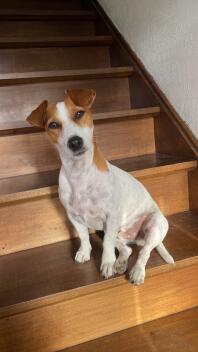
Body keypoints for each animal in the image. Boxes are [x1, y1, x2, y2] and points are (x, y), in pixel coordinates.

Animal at [26, 88, 175, 286]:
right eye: (53, 125)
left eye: (79, 114)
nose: (75, 142)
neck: (80, 173)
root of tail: (137, 239)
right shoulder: (74, 217)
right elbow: (83, 236)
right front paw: (85, 252)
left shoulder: (111, 217)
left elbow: (107, 245)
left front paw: (107, 263)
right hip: (111, 231)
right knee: (127, 249)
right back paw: (121, 263)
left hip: (154, 224)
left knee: (145, 252)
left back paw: (136, 271)